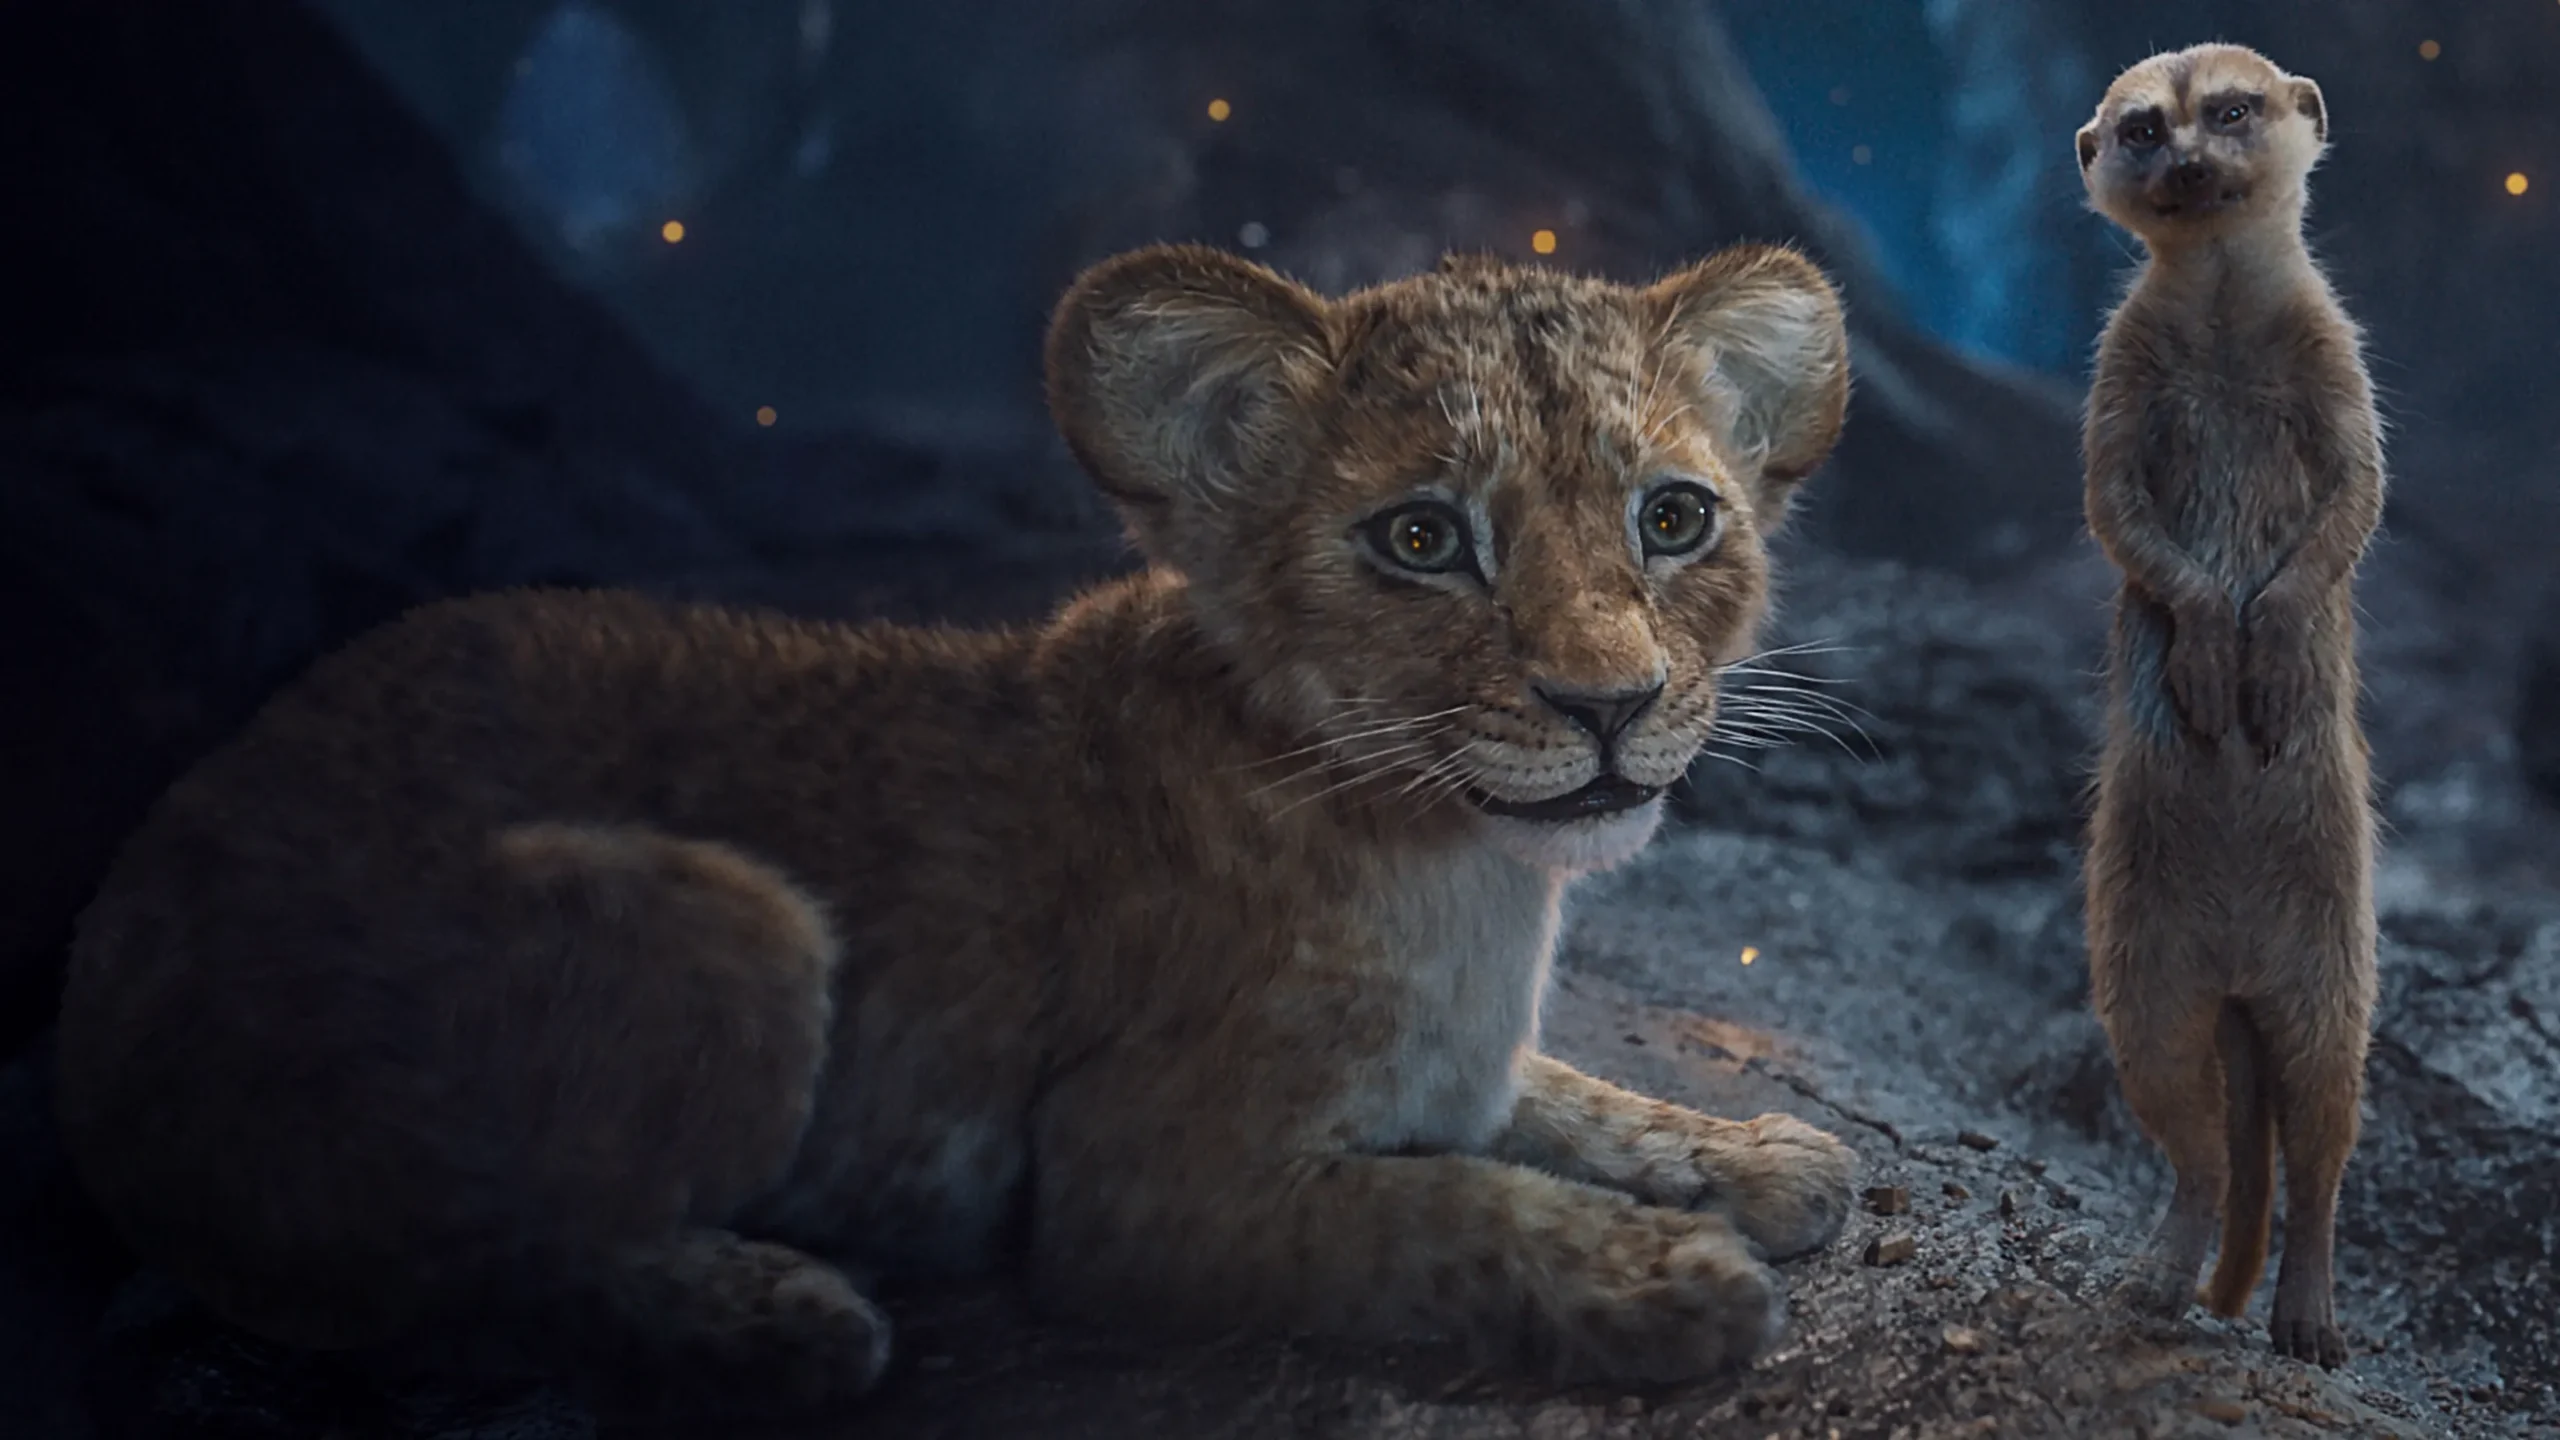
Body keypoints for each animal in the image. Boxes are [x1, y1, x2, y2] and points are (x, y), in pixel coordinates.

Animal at [52, 240, 1858, 1419]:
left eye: (1673, 518)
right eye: (1421, 540)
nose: (1611, 704)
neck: (1467, 871)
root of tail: (124, 906)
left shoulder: (1464, 1069)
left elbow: (1562, 1097)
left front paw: (1756, 1158)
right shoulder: (1141, 1193)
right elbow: (1444, 1212)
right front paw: (1669, 1278)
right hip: (738, 919)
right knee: (456, 1262)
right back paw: (779, 1321)